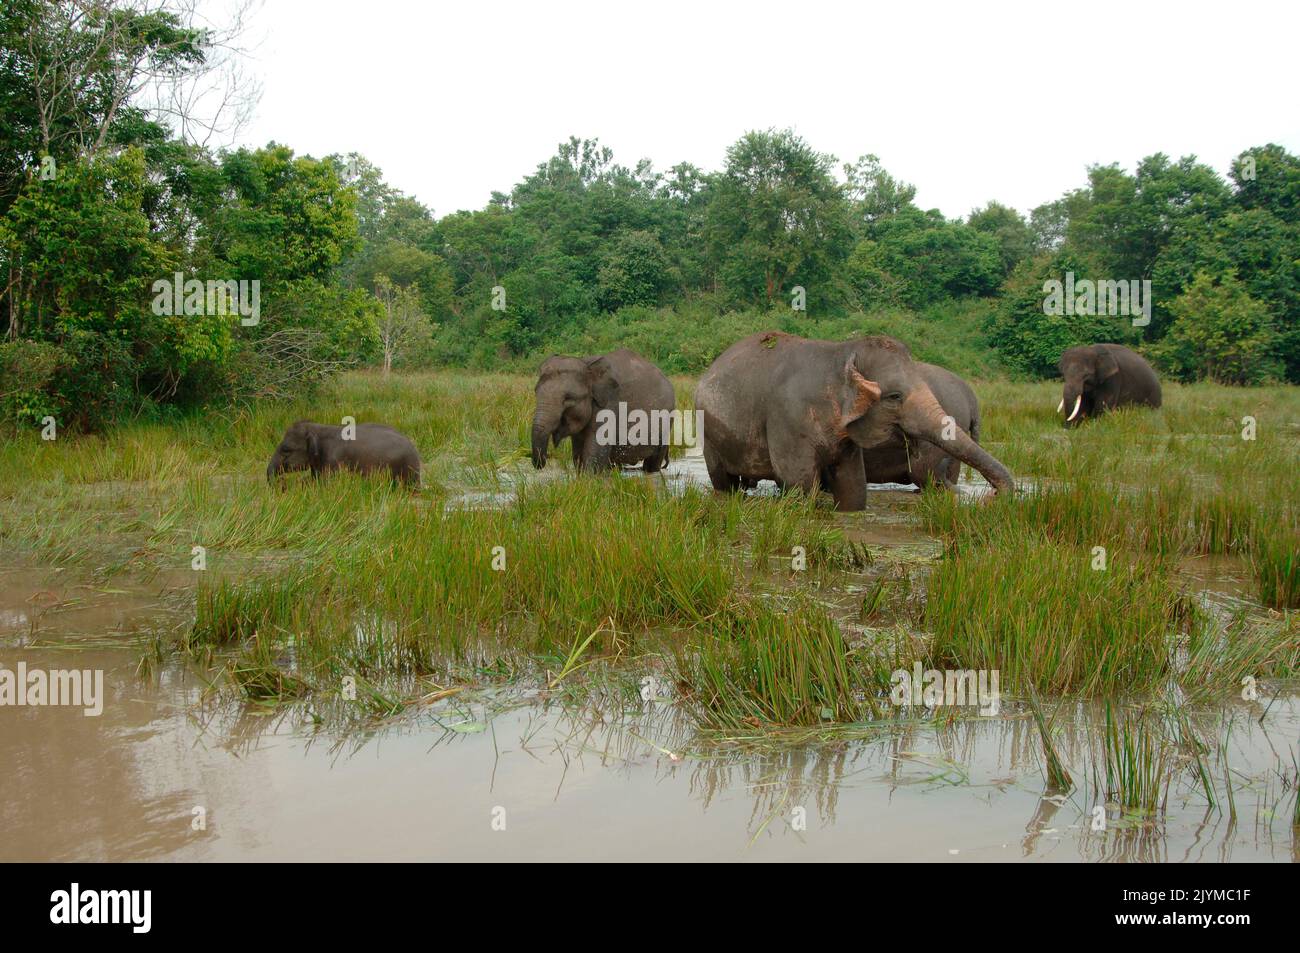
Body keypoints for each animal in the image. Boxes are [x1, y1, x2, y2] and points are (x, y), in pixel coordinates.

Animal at [531, 348, 675, 472]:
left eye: (568, 398)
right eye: (536, 392)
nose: (540, 464)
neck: (586, 364)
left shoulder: (609, 403)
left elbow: (595, 454)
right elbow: (578, 455)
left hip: (666, 421)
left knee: (653, 462)